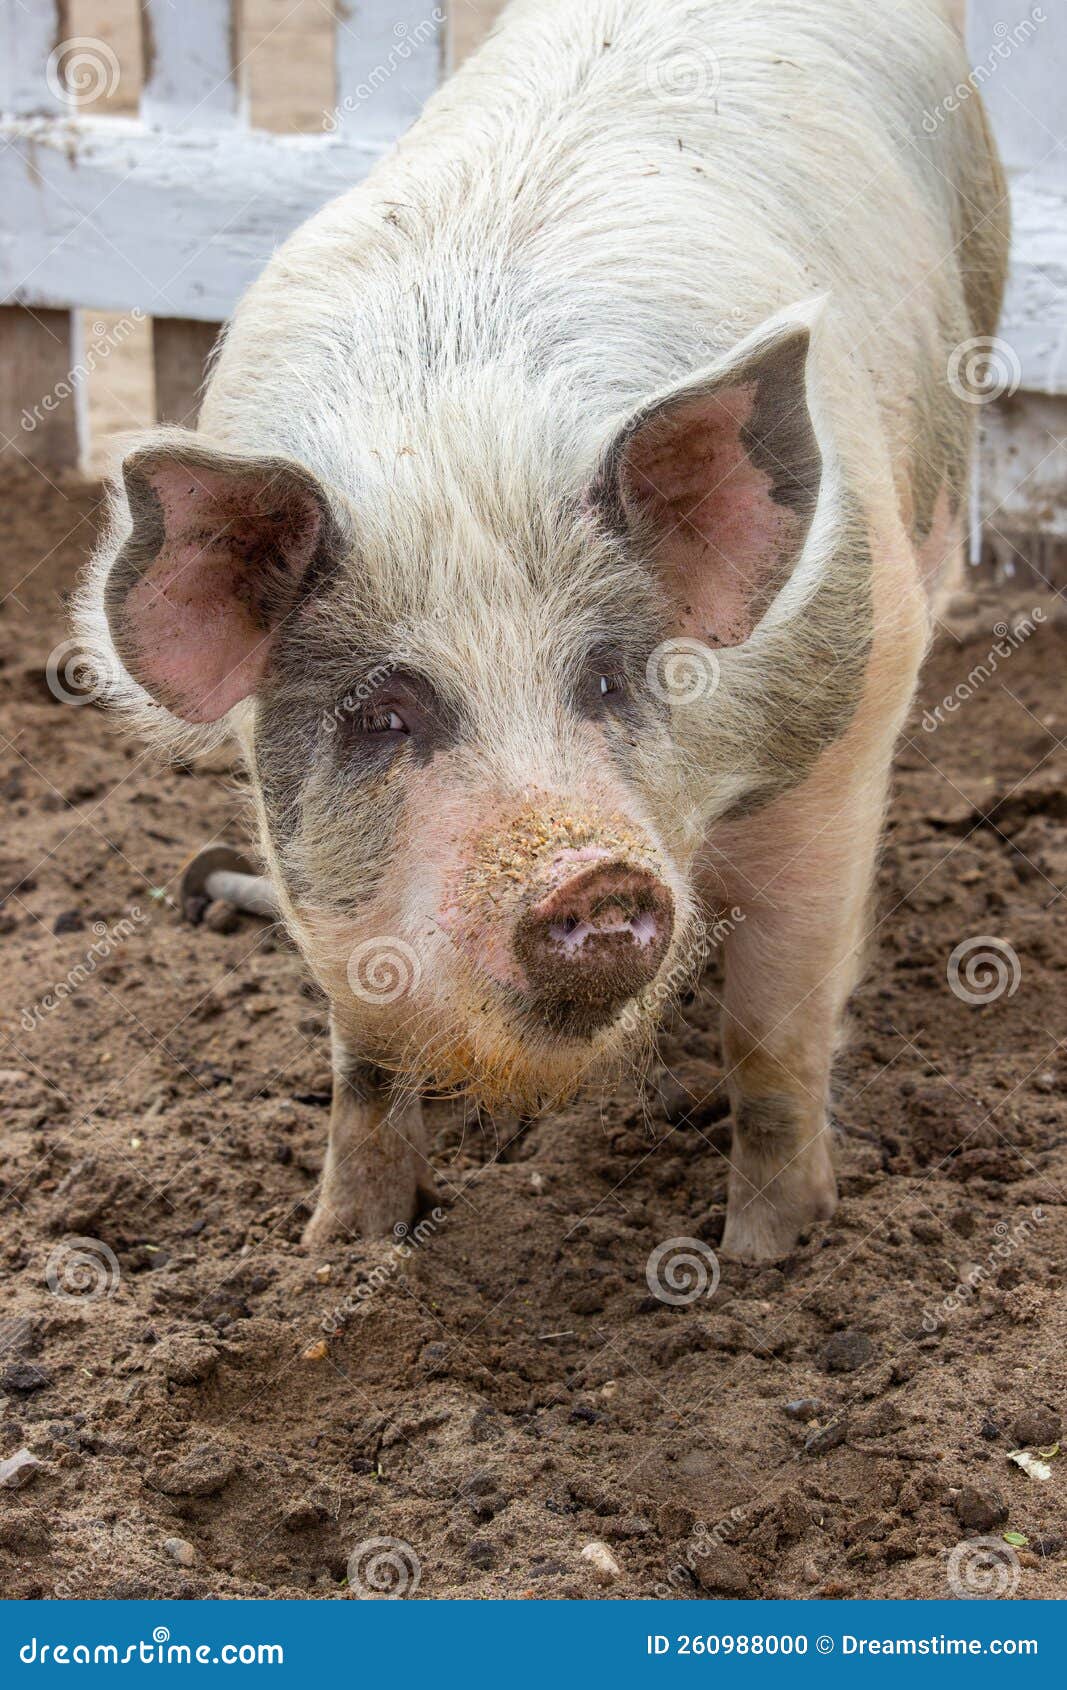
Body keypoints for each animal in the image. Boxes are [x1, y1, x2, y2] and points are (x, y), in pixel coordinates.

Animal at [77, 0, 1008, 1262]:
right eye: (383, 714)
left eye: (608, 679)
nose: (590, 875)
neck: (457, 443)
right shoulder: (318, 872)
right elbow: (366, 1064)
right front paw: (338, 1247)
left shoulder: (842, 714)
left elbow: (771, 1034)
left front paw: (766, 1258)